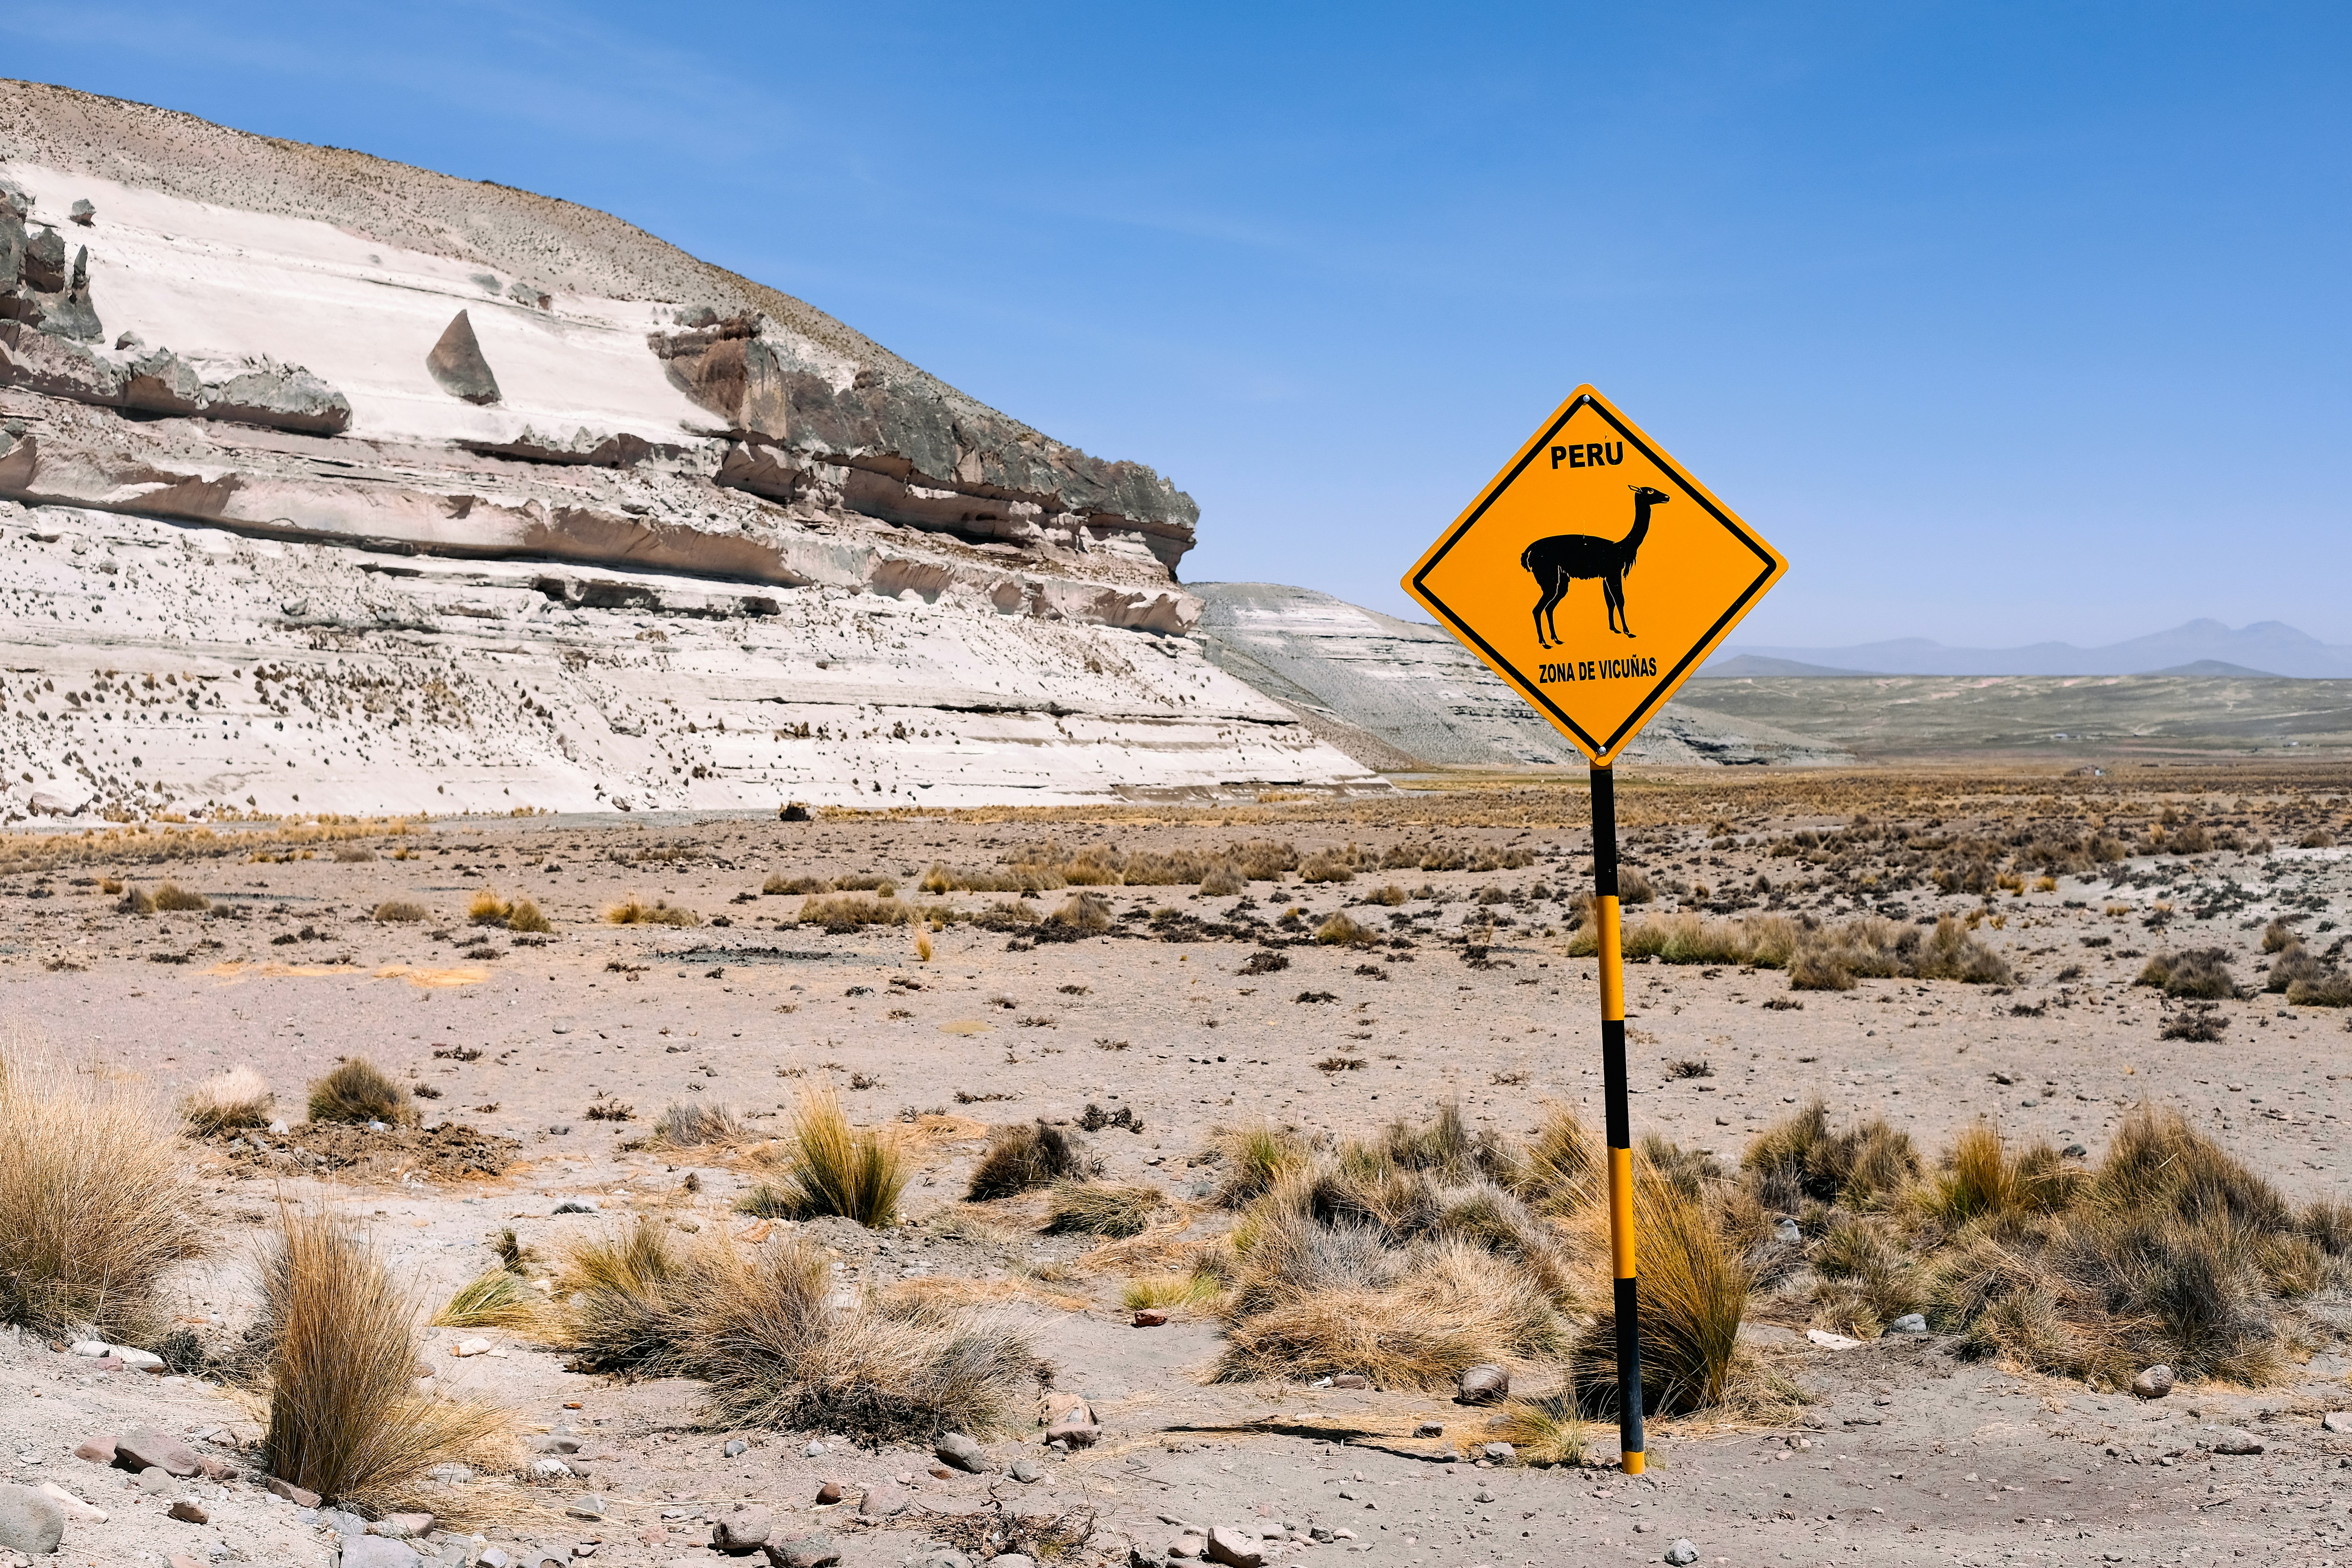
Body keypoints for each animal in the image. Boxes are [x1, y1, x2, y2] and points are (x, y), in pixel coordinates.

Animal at [1521, 485, 1667, 645]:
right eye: (1651, 491)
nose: (1667, 497)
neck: (1621, 548)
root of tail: (1529, 552)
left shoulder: (1606, 576)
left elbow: (1610, 602)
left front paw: (1615, 629)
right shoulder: (1614, 573)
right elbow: (1620, 600)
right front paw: (1628, 632)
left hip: (1561, 579)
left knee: (1549, 608)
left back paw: (1556, 639)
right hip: (1549, 577)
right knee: (1538, 609)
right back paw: (1544, 643)